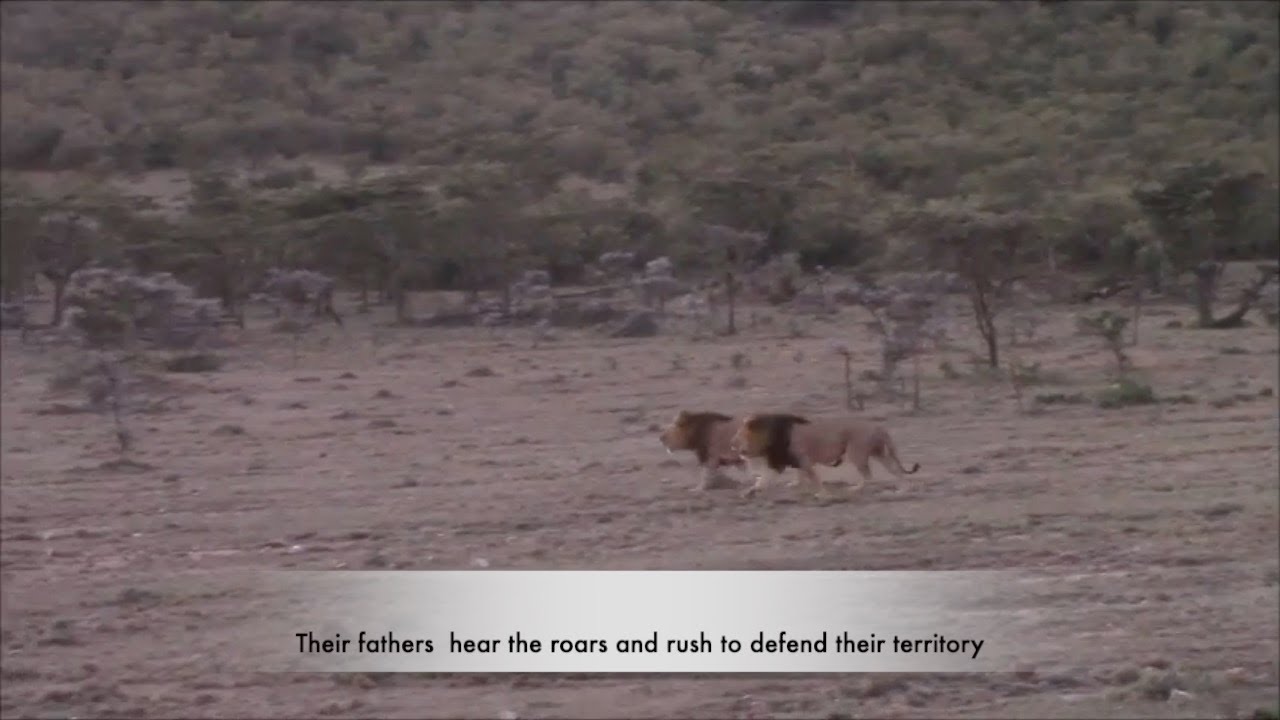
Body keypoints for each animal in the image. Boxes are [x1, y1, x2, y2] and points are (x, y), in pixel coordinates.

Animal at [729, 412, 920, 499]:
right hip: (880, 453)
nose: (732, 444)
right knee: (896, 470)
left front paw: (822, 494)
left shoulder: (801, 460)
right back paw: (903, 490)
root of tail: (879, 427)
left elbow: (814, 478)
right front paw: (751, 491)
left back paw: (856, 489)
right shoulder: (787, 462)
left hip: (856, 452)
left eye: (740, 435)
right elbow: (767, 479)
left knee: (868, 475)